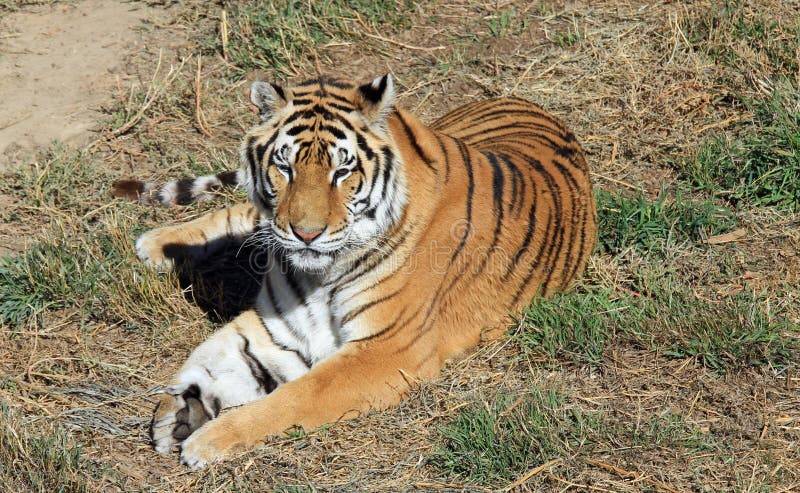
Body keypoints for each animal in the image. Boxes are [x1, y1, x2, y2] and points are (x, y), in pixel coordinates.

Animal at [122, 74, 597, 468]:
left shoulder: (388, 349)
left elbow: (297, 395)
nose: (306, 234)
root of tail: (520, 100)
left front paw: (207, 438)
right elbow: (210, 358)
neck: (320, 273)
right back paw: (158, 244)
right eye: (285, 166)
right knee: (239, 213)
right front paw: (180, 409)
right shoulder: (277, 329)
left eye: (342, 170)